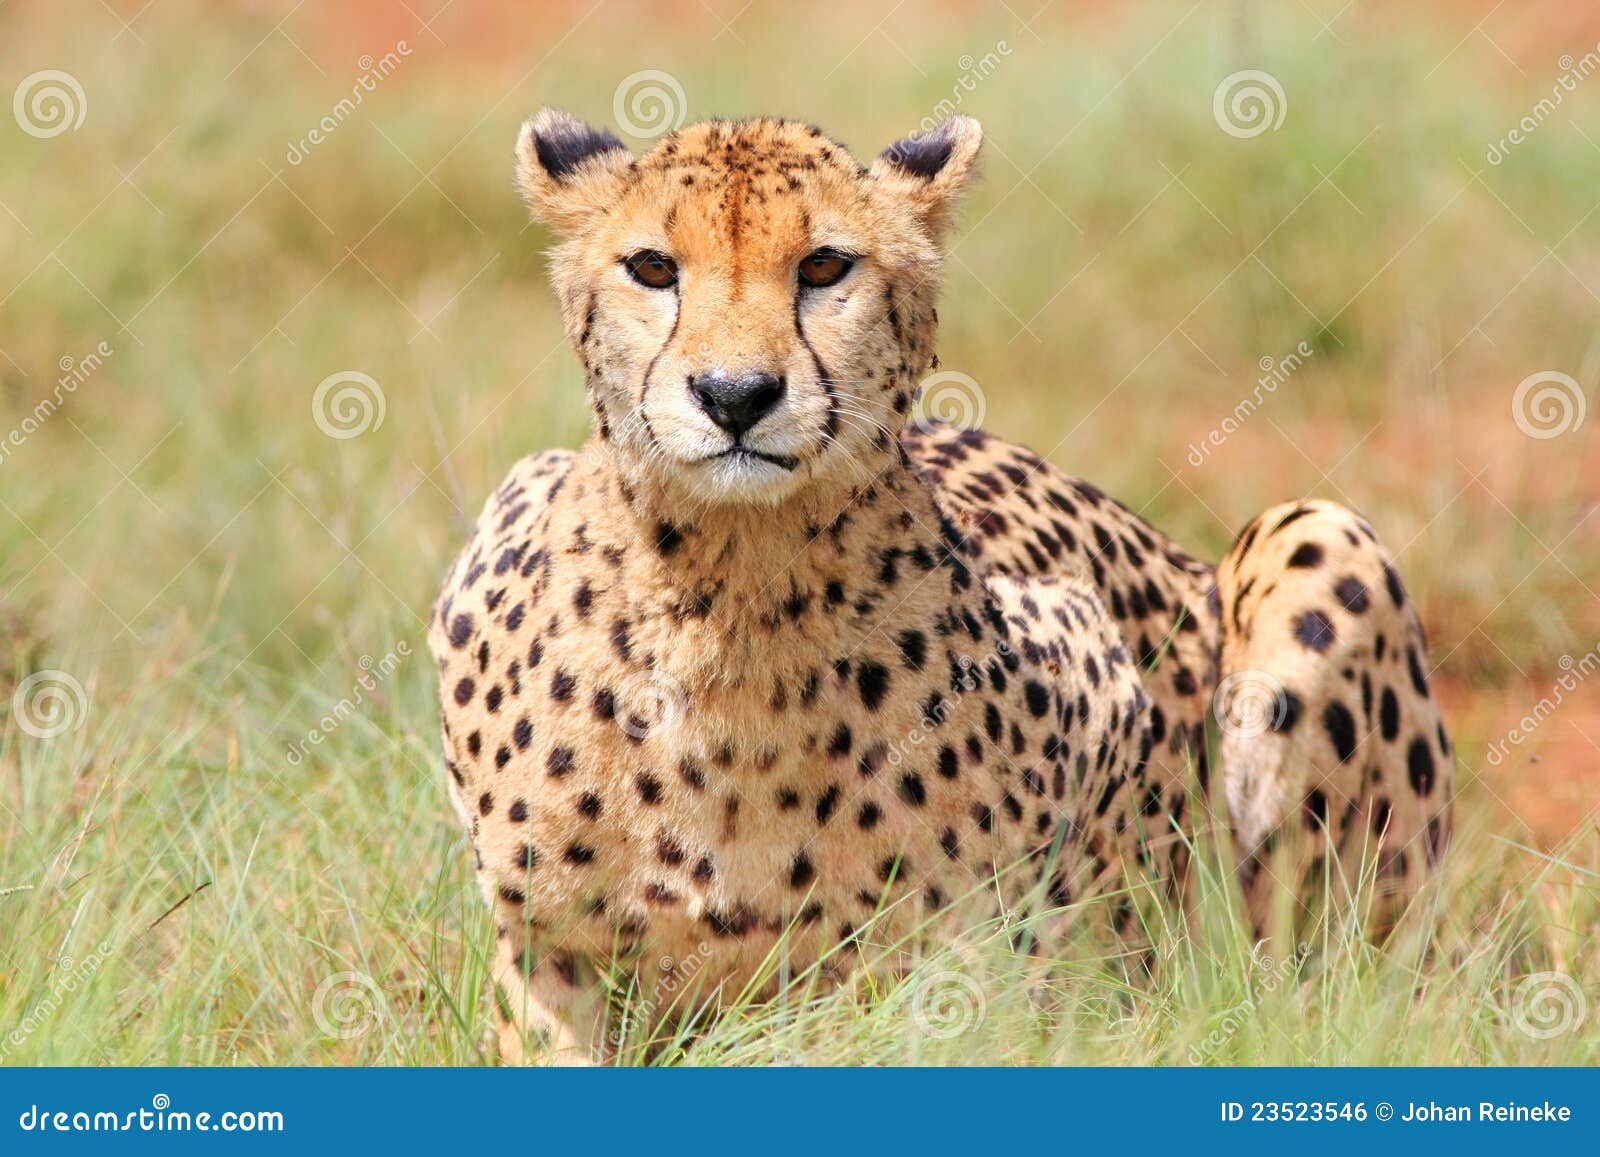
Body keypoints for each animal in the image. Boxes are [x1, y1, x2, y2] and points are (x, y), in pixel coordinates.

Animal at [427, 109, 1454, 1064]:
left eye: (824, 265)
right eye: (651, 267)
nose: (734, 394)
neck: (731, 598)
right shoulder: (549, 962)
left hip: (1320, 542)